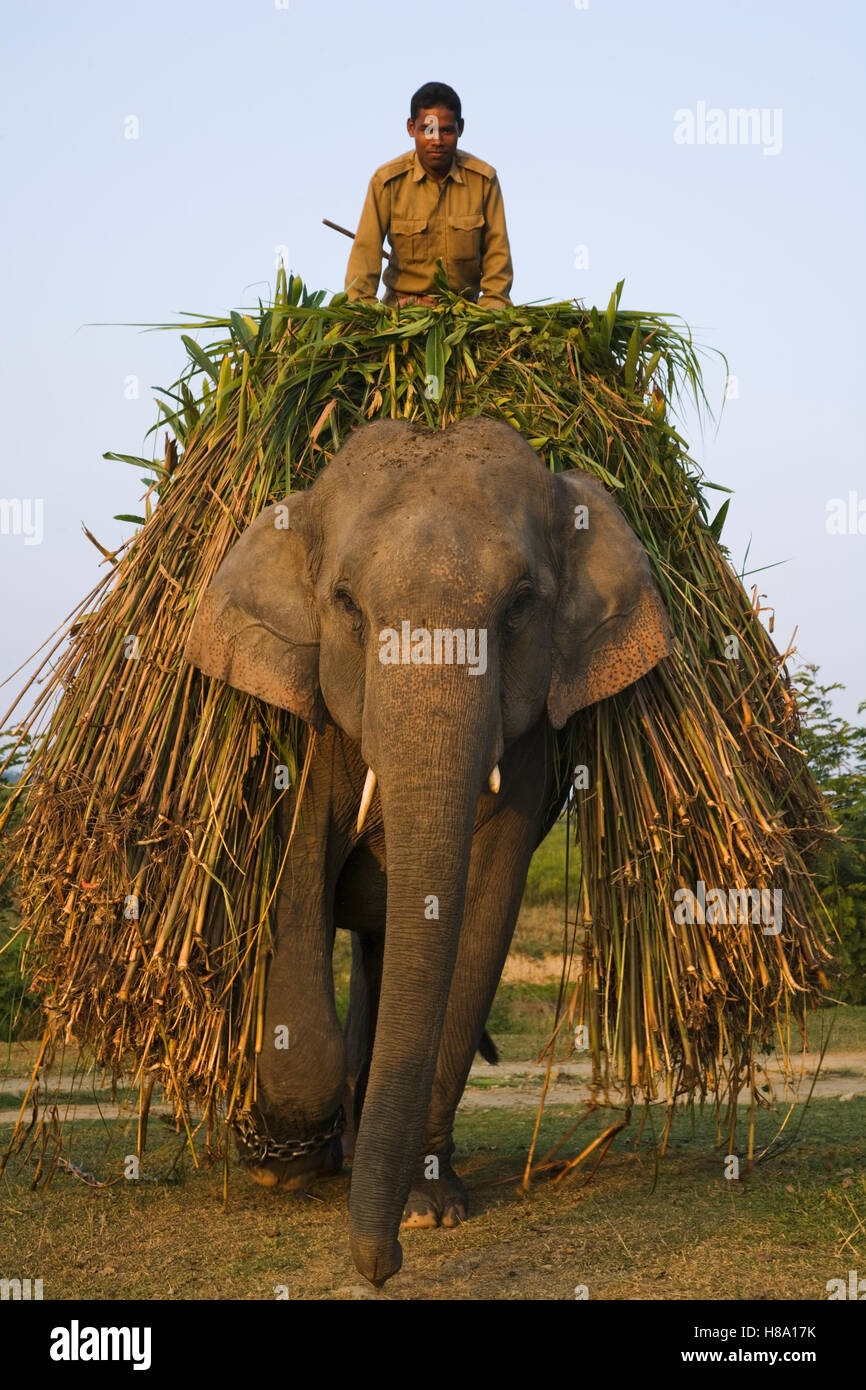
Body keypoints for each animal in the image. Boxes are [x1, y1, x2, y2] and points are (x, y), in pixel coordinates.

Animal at [183, 416, 672, 1286]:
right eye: (346, 604)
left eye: (519, 606)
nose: (383, 1270)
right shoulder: (310, 731)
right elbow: (298, 888)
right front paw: (281, 1162)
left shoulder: (527, 740)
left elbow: (479, 922)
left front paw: (427, 1208)